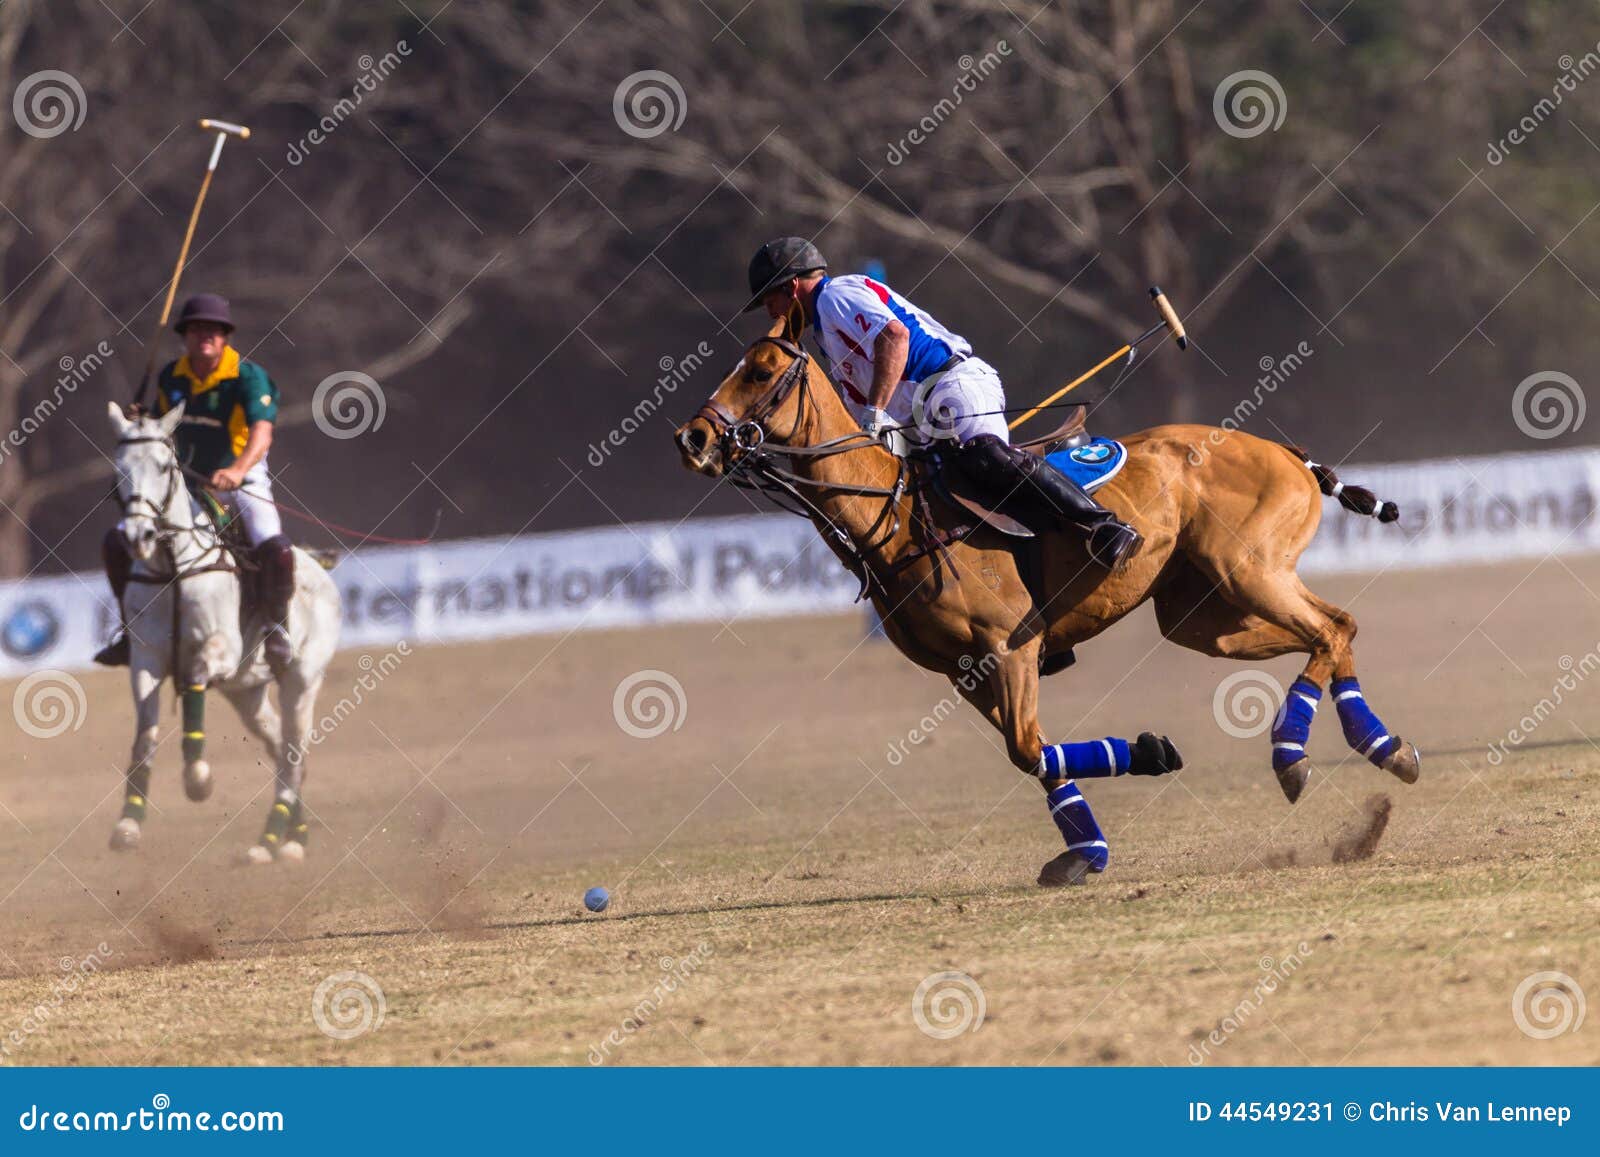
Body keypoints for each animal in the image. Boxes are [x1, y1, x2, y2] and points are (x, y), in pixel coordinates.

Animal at [105, 401, 342, 864]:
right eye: (119, 468)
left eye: (164, 465)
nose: (139, 535)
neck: (172, 564)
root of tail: (318, 567)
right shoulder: (146, 658)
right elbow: (145, 734)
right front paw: (128, 822)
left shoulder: (224, 649)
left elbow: (195, 677)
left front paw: (197, 778)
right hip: (246, 691)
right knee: (280, 748)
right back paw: (294, 836)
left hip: (302, 680)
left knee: (293, 754)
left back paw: (271, 843)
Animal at [673, 317, 1418, 887]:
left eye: (761, 370)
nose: (693, 439)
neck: (896, 517)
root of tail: (1285, 450)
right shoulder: (964, 670)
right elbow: (1031, 751)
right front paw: (1127, 785)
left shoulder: (1011, 645)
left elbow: (1028, 745)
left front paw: (1107, 819)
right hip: (1205, 616)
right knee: (1338, 627)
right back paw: (1386, 746)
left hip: (1248, 572)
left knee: (1328, 629)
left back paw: (1296, 753)